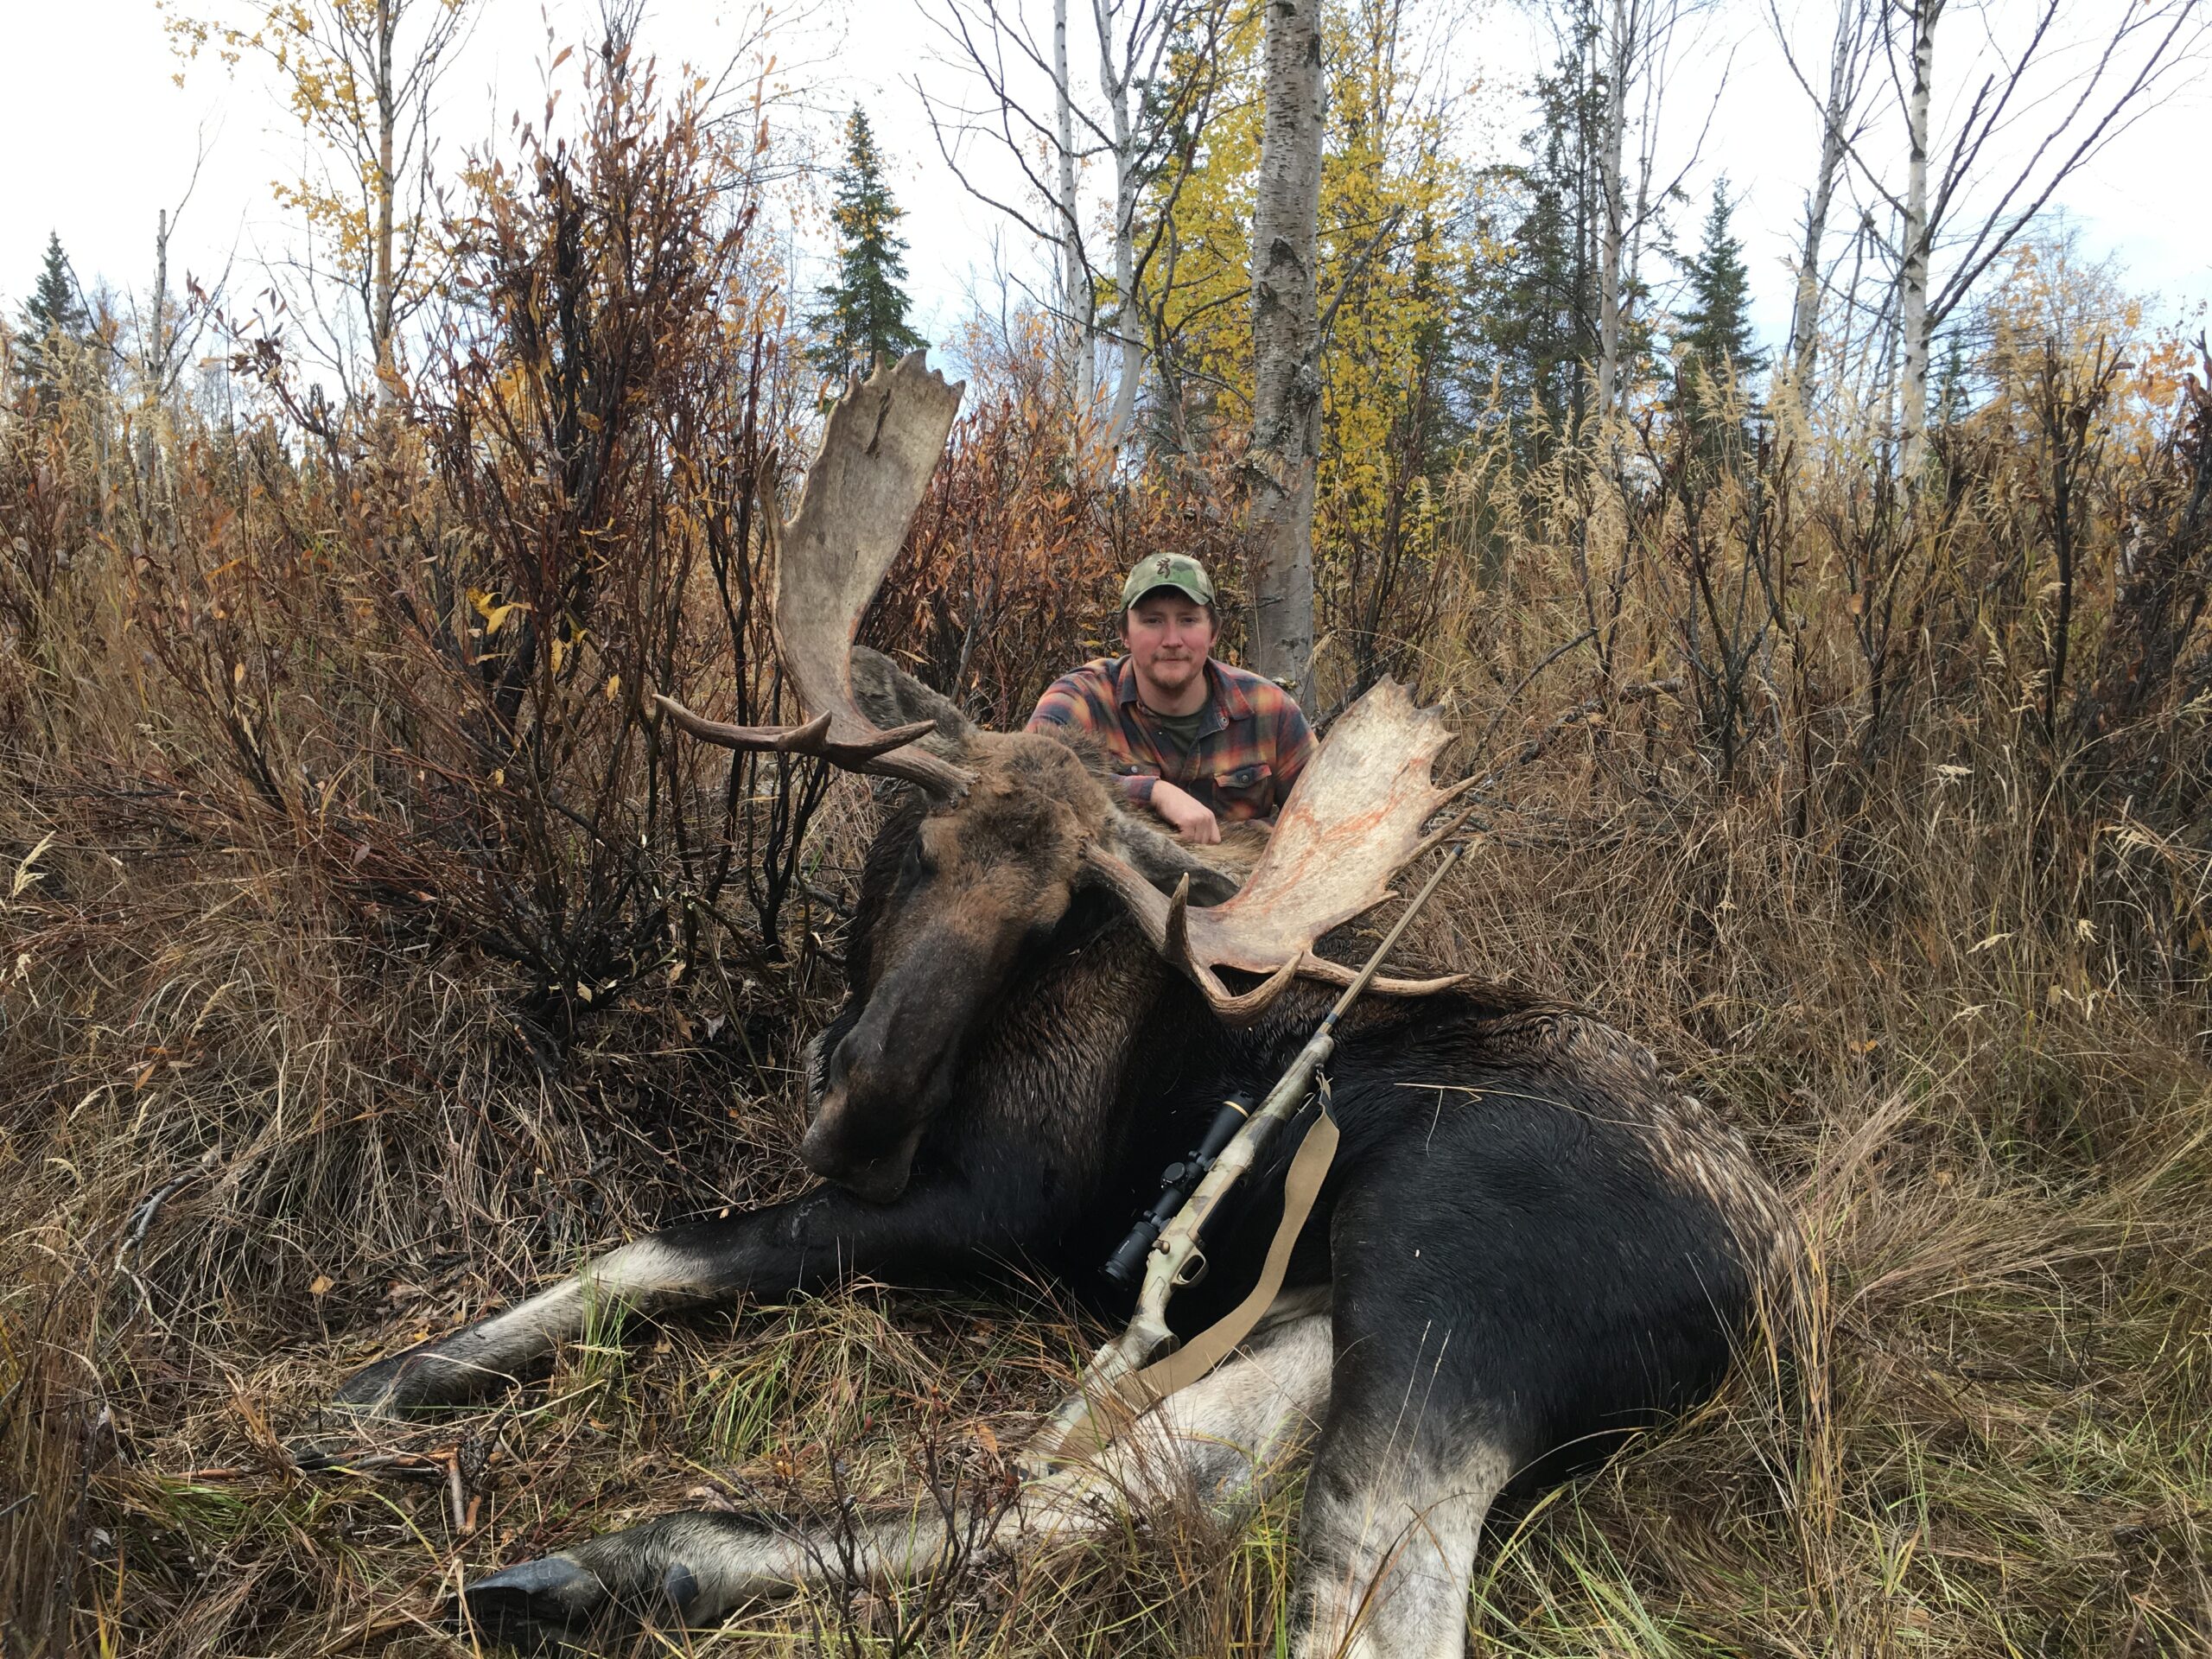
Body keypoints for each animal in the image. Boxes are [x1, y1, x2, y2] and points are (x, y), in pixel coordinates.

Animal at [310, 354, 1796, 1656]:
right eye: (921, 842)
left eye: (1045, 924)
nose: (865, 1117)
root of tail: (1769, 1272)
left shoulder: (996, 1208)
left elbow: (657, 1251)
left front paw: (376, 1386)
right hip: (1320, 1310)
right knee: (1153, 1485)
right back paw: (612, 1564)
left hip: (1446, 1283)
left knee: (1348, 1591)